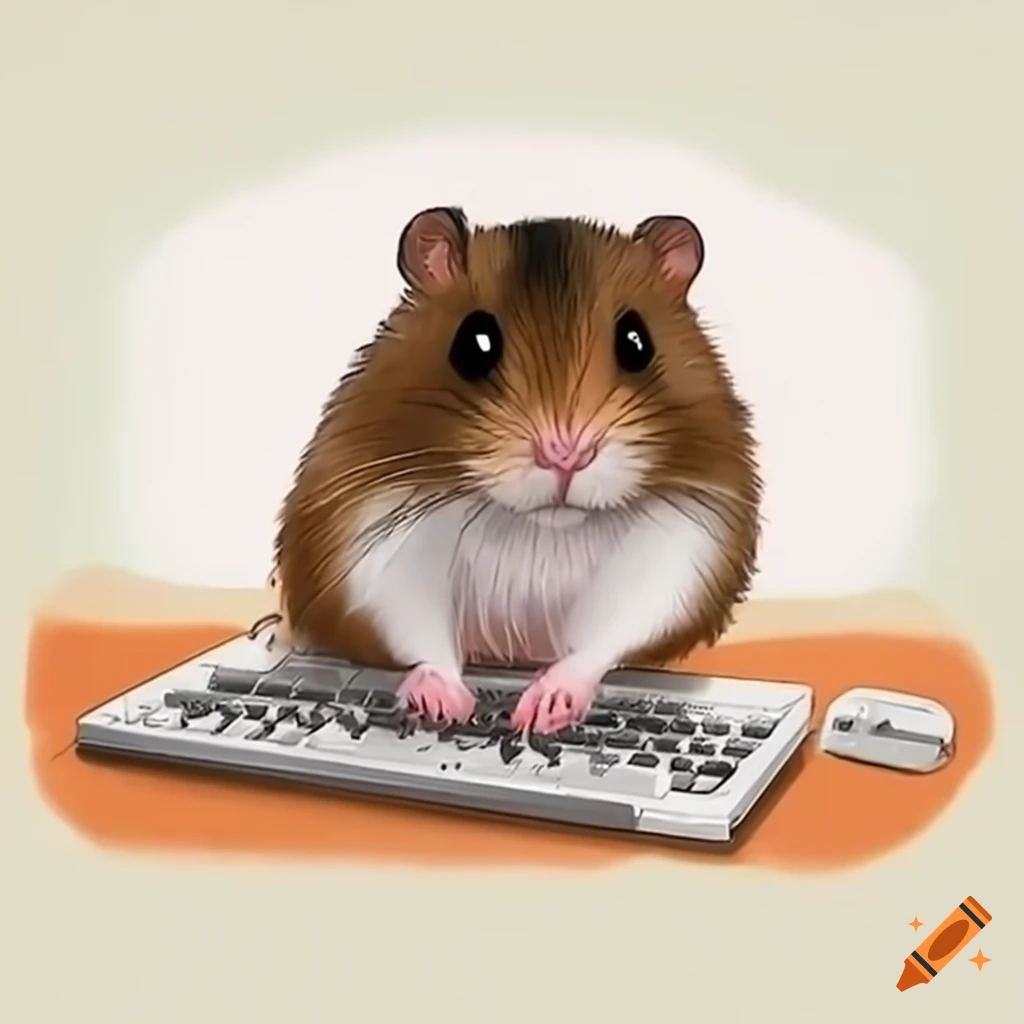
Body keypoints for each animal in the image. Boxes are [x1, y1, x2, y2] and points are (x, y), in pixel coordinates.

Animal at [273, 207, 761, 734]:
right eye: (473, 345)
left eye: (636, 342)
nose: (566, 455)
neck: (537, 531)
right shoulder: (375, 542)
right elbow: (419, 630)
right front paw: (445, 706)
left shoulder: (682, 547)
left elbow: (607, 636)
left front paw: (543, 711)